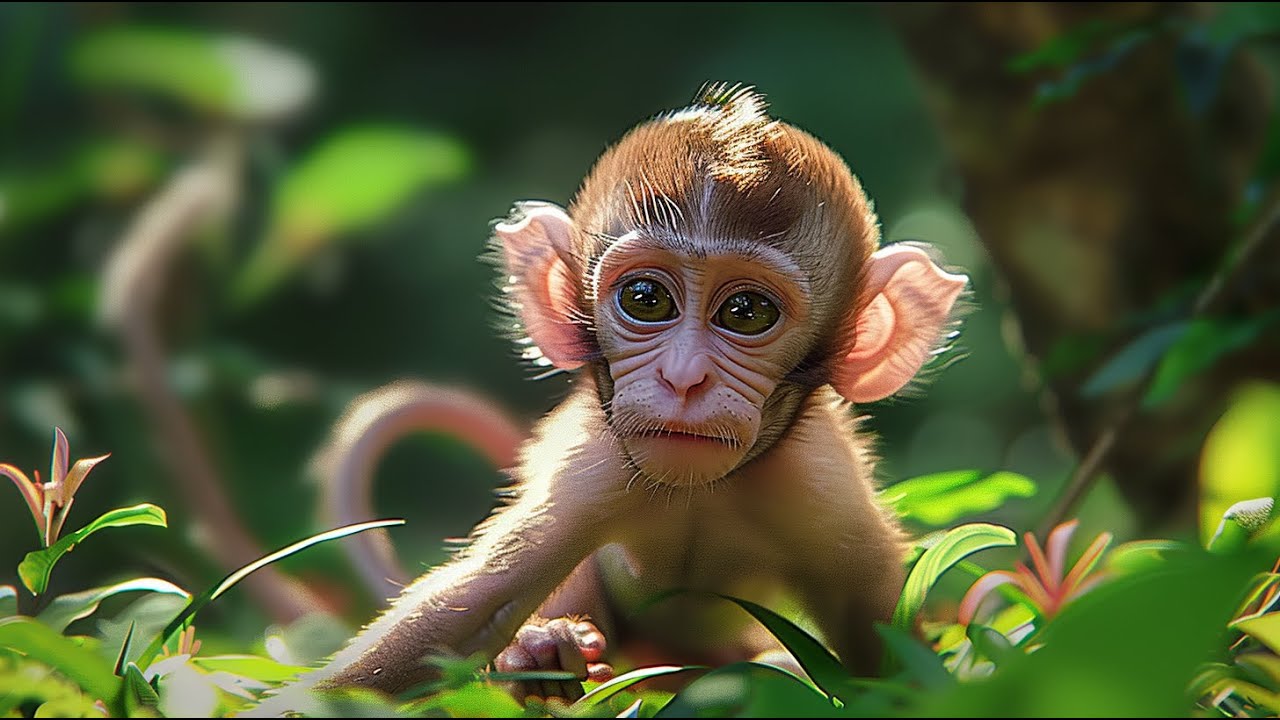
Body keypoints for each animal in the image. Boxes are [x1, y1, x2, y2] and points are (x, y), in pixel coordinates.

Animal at [247, 84, 967, 715]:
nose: (683, 378)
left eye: (747, 312)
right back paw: (544, 651)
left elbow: (883, 648)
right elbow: (462, 615)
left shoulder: (818, 487)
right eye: (646, 299)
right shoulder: (596, 469)